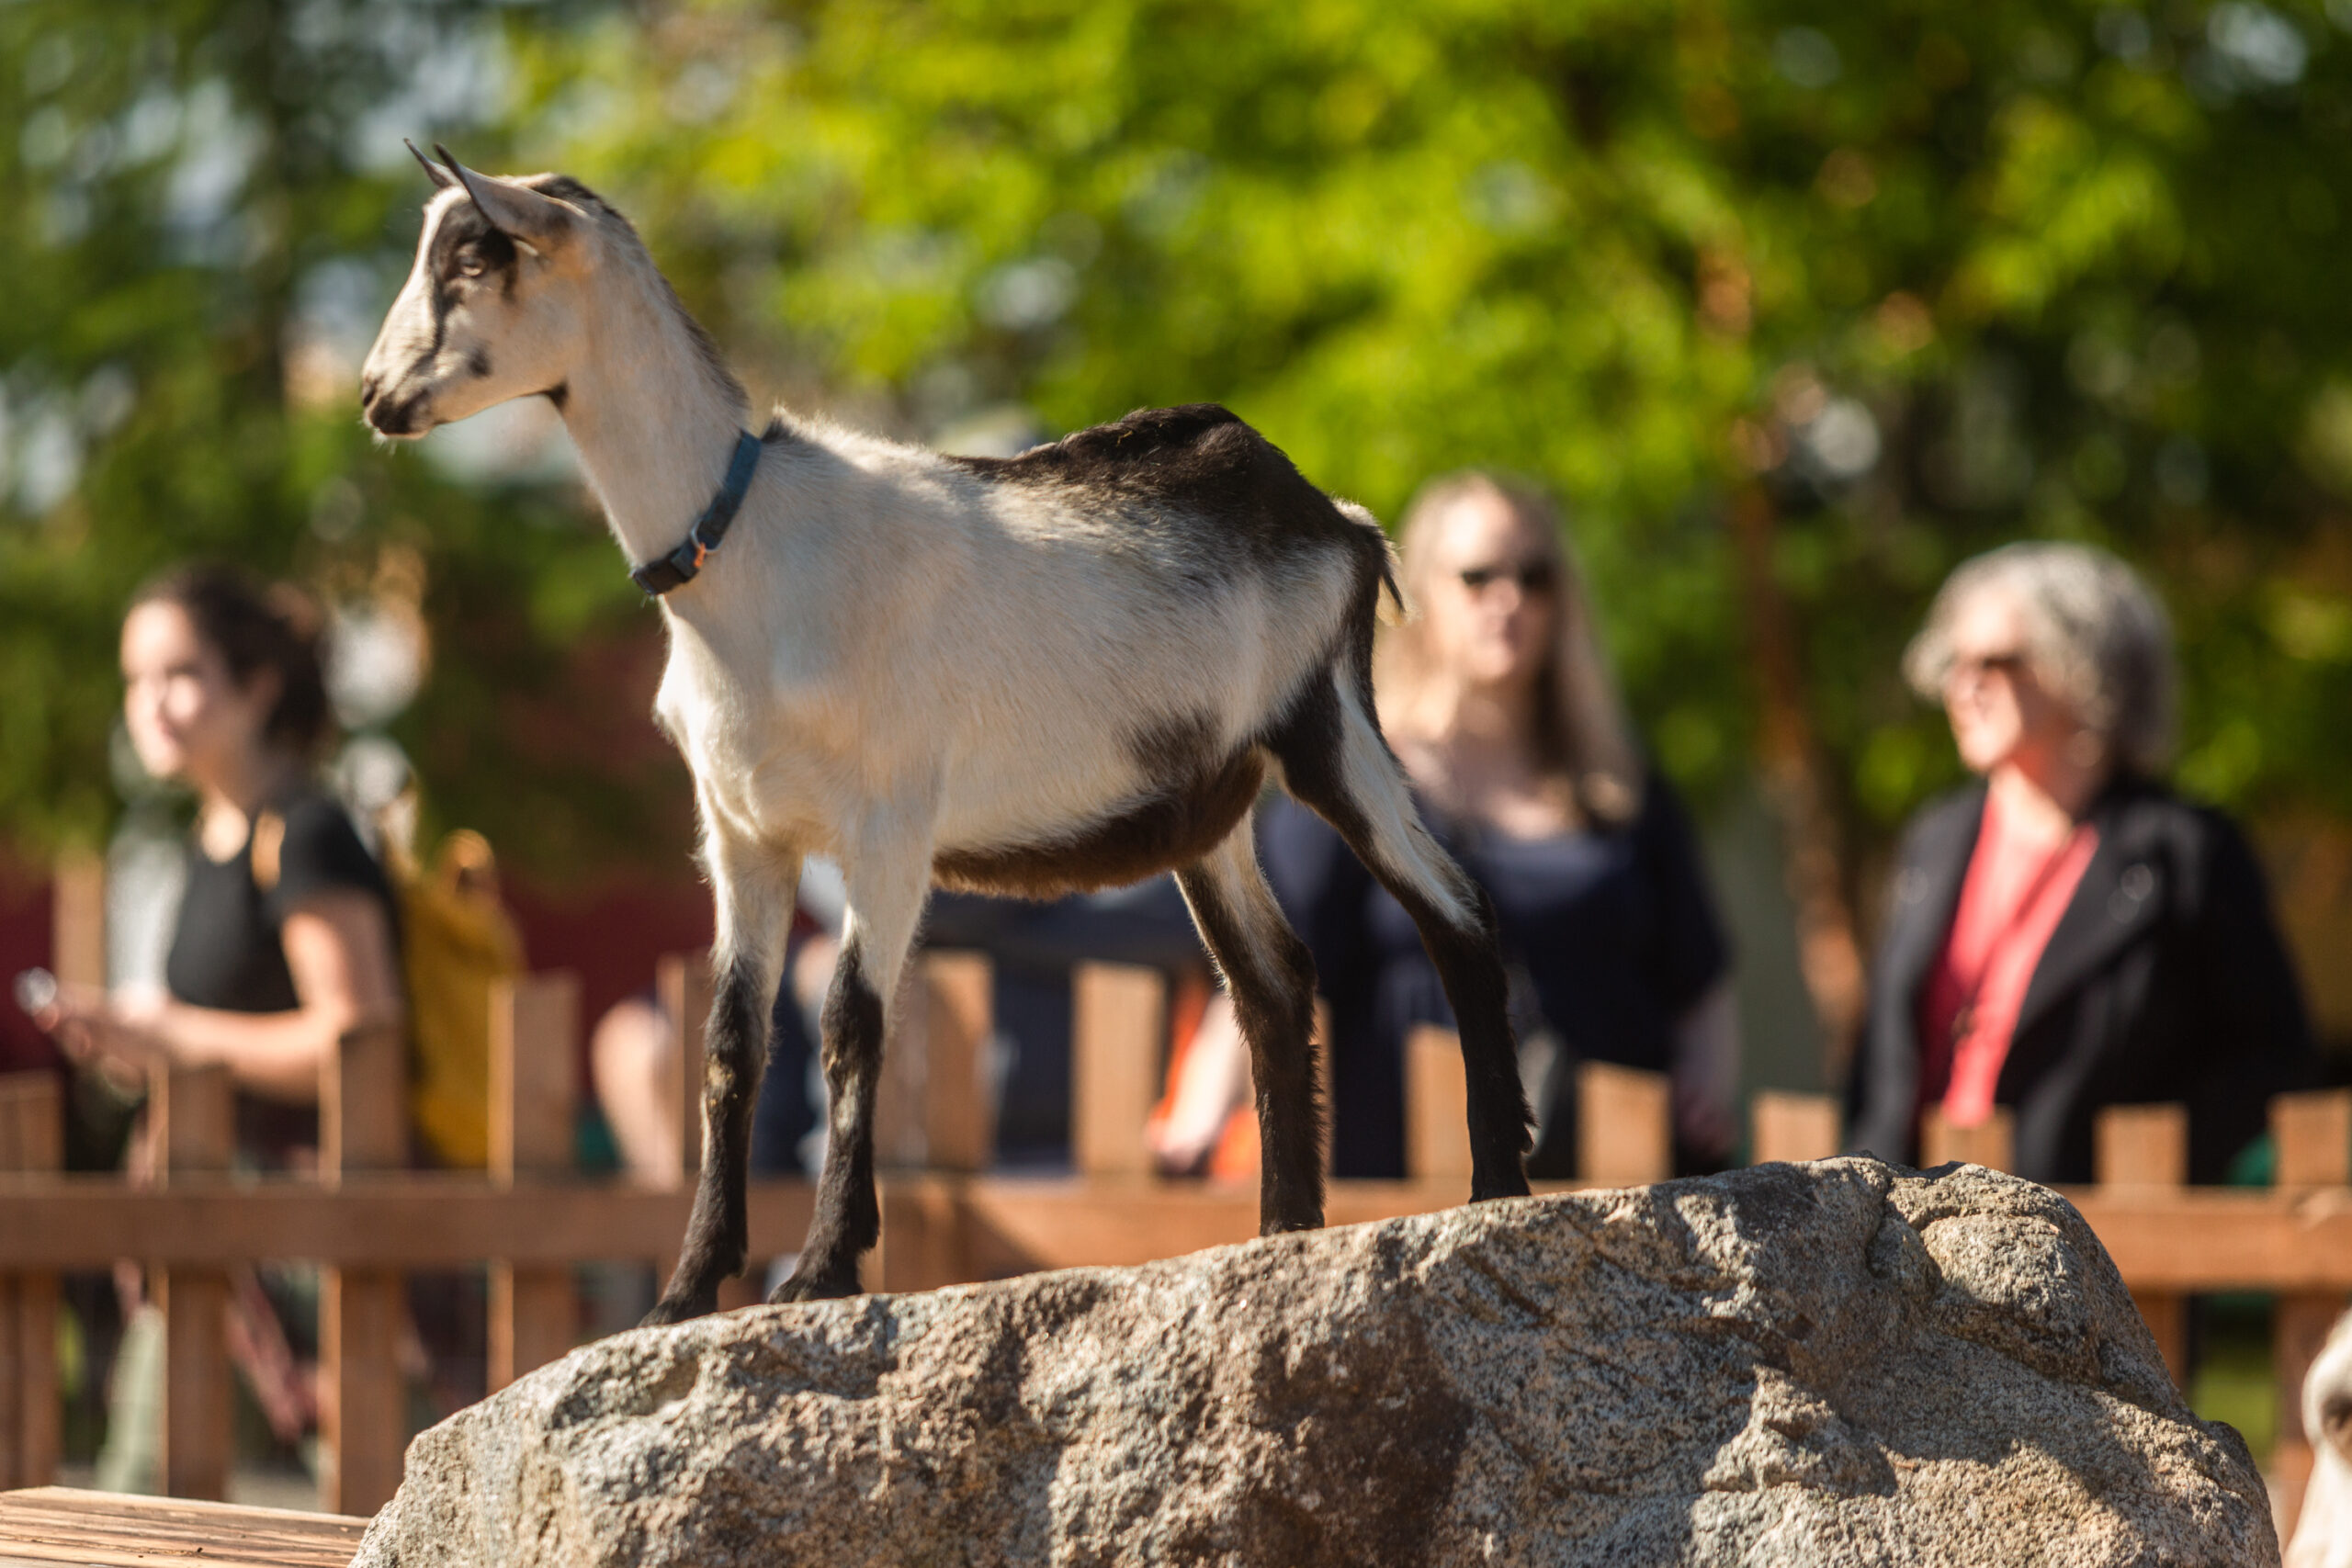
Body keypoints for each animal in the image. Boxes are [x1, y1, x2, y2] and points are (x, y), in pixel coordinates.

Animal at [359, 146, 1532, 1320]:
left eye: (476, 256)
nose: (373, 396)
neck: (742, 547)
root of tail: (1339, 520)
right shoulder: (741, 835)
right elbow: (730, 1045)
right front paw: (687, 1291)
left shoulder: (888, 827)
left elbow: (851, 1026)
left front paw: (822, 1270)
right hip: (1210, 812)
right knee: (1275, 980)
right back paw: (1283, 1232)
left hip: (1330, 724)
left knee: (1454, 909)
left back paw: (1495, 1186)